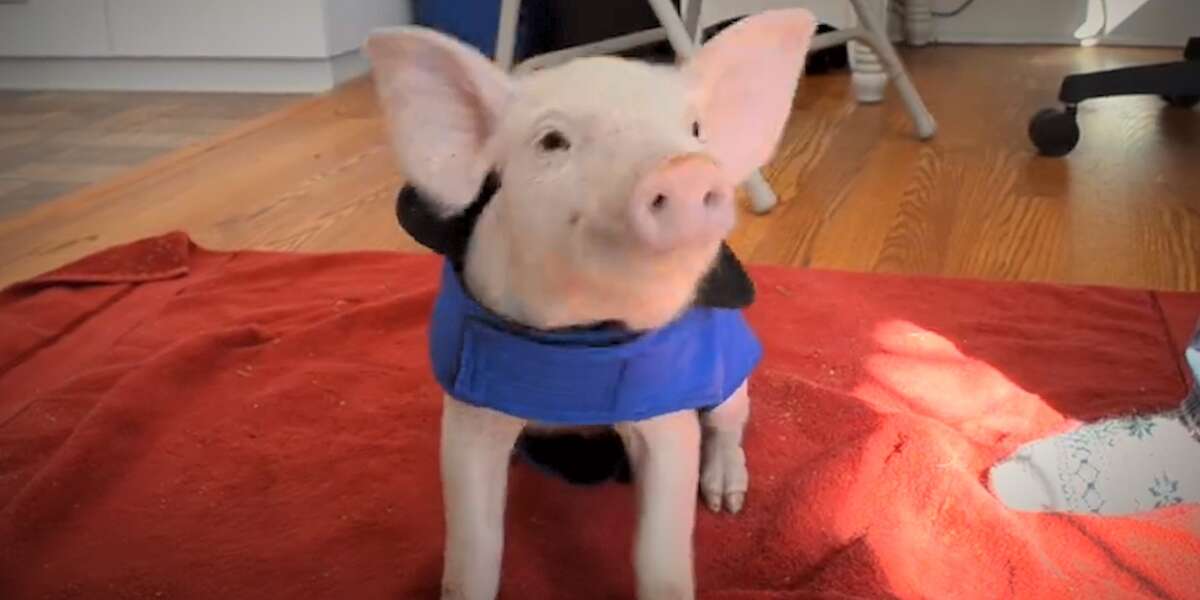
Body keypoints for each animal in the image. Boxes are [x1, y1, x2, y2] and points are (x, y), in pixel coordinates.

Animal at [365, 9, 817, 599]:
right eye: (553, 141)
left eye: (695, 130)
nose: (684, 169)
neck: (580, 329)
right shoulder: (469, 411)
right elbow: (473, 547)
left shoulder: (667, 414)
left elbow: (661, 545)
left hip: (732, 381)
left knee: (729, 424)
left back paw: (727, 499)